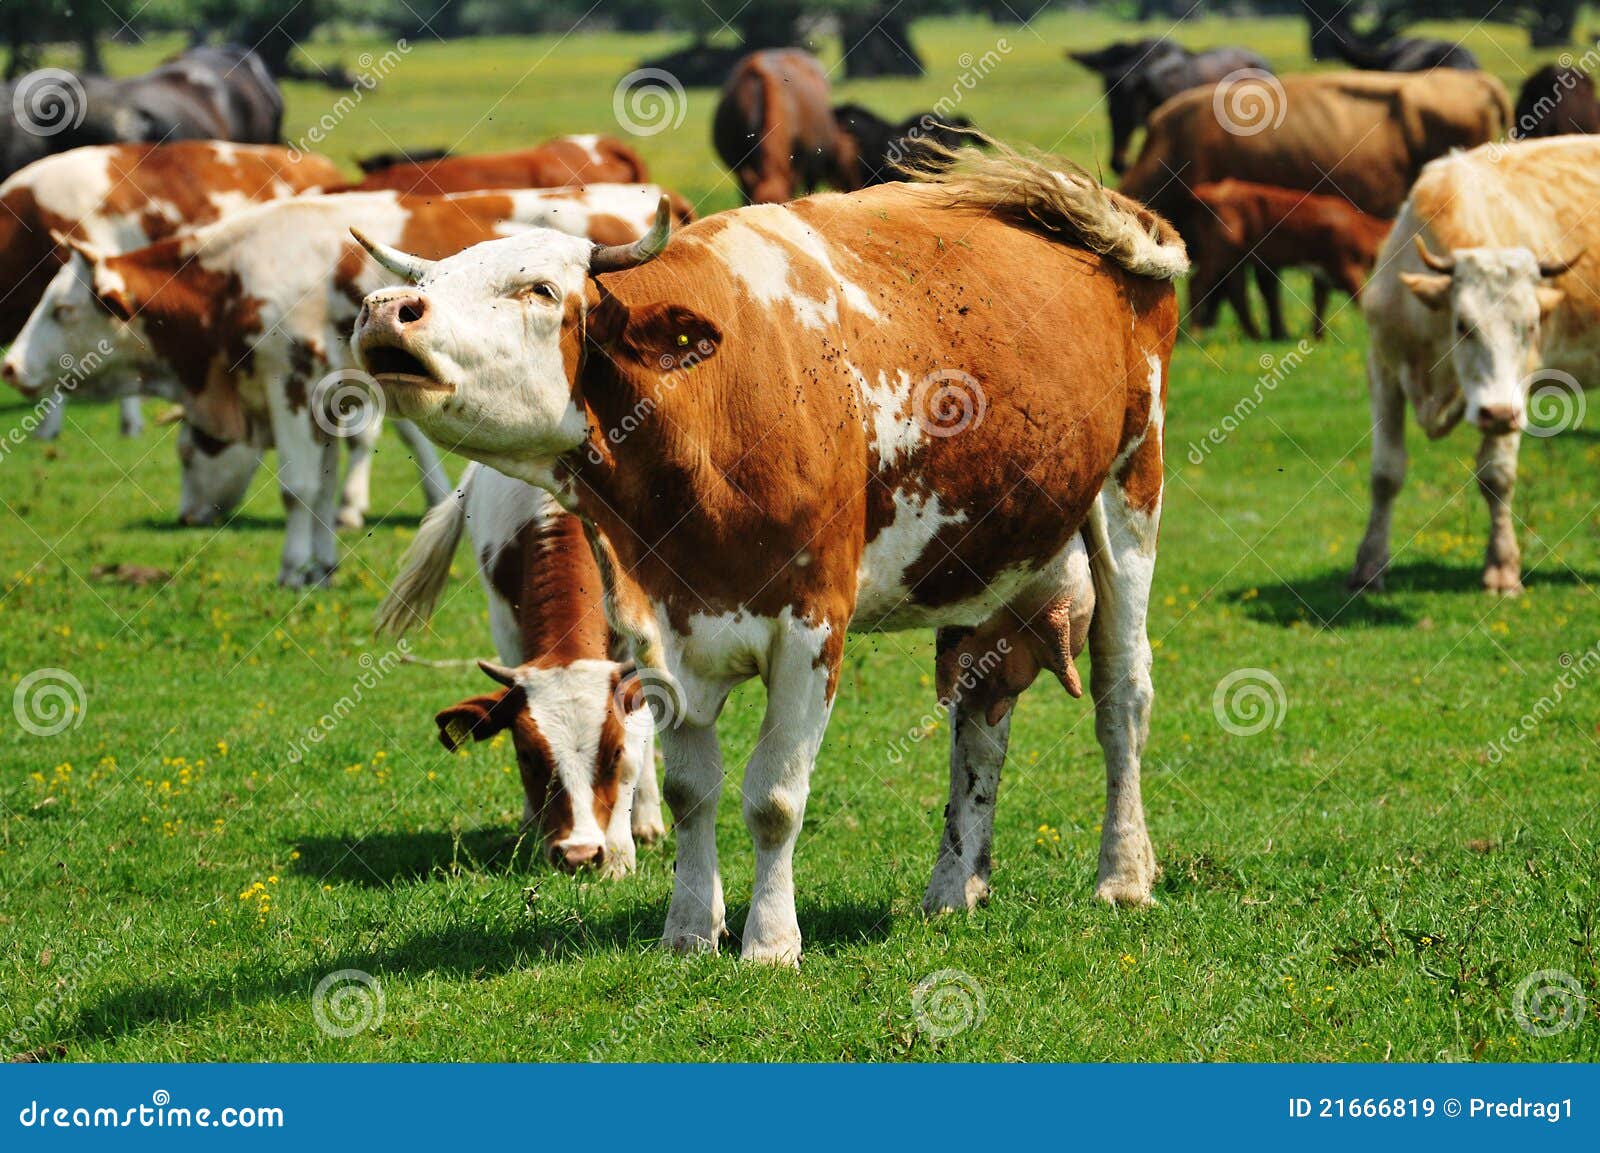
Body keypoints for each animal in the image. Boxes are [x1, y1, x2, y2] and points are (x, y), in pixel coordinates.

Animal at [4, 184, 679, 585]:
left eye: (62, 311)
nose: (10, 365)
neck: (238, 273)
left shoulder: (291, 383)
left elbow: (299, 488)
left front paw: (292, 569)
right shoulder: (329, 396)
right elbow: (325, 487)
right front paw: (323, 563)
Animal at [379, 462, 665, 874]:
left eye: (612, 753)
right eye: (527, 756)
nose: (578, 854)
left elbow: (635, 750)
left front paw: (618, 854)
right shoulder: (509, 636)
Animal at [1188, 180, 1391, 341]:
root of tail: (1214, 189)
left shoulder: (1323, 272)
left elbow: (1319, 302)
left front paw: (1319, 338)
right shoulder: (1346, 267)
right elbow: (1361, 298)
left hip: (1234, 258)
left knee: (1236, 292)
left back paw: (1255, 336)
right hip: (1220, 253)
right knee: (1198, 283)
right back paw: (1194, 333)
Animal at [1350, 137, 1597, 596]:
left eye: (1531, 326)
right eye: (1464, 325)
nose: (1496, 412)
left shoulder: (1518, 387)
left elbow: (1496, 475)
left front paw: (1501, 568)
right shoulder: (1383, 367)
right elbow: (1386, 472)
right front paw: (1369, 567)